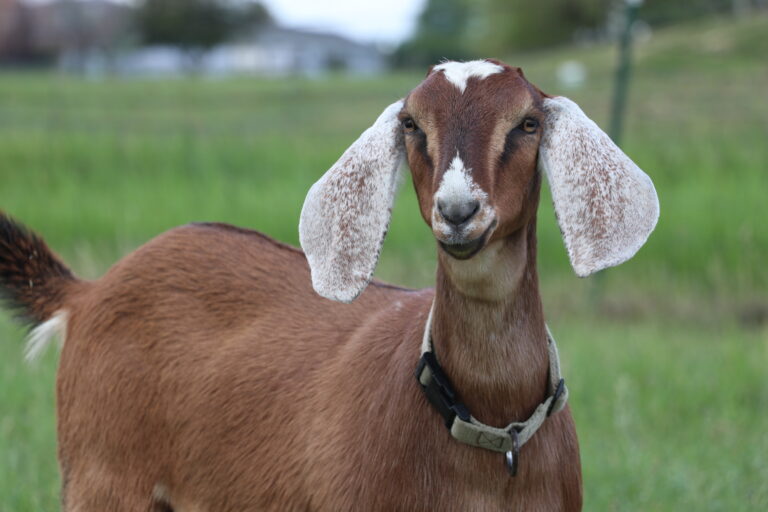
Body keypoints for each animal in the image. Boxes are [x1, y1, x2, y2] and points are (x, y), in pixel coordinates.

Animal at [0, 59, 658, 511]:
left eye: (527, 122)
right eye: (412, 123)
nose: (458, 211)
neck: (491, 428)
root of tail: (88, 292)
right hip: (101, 479)